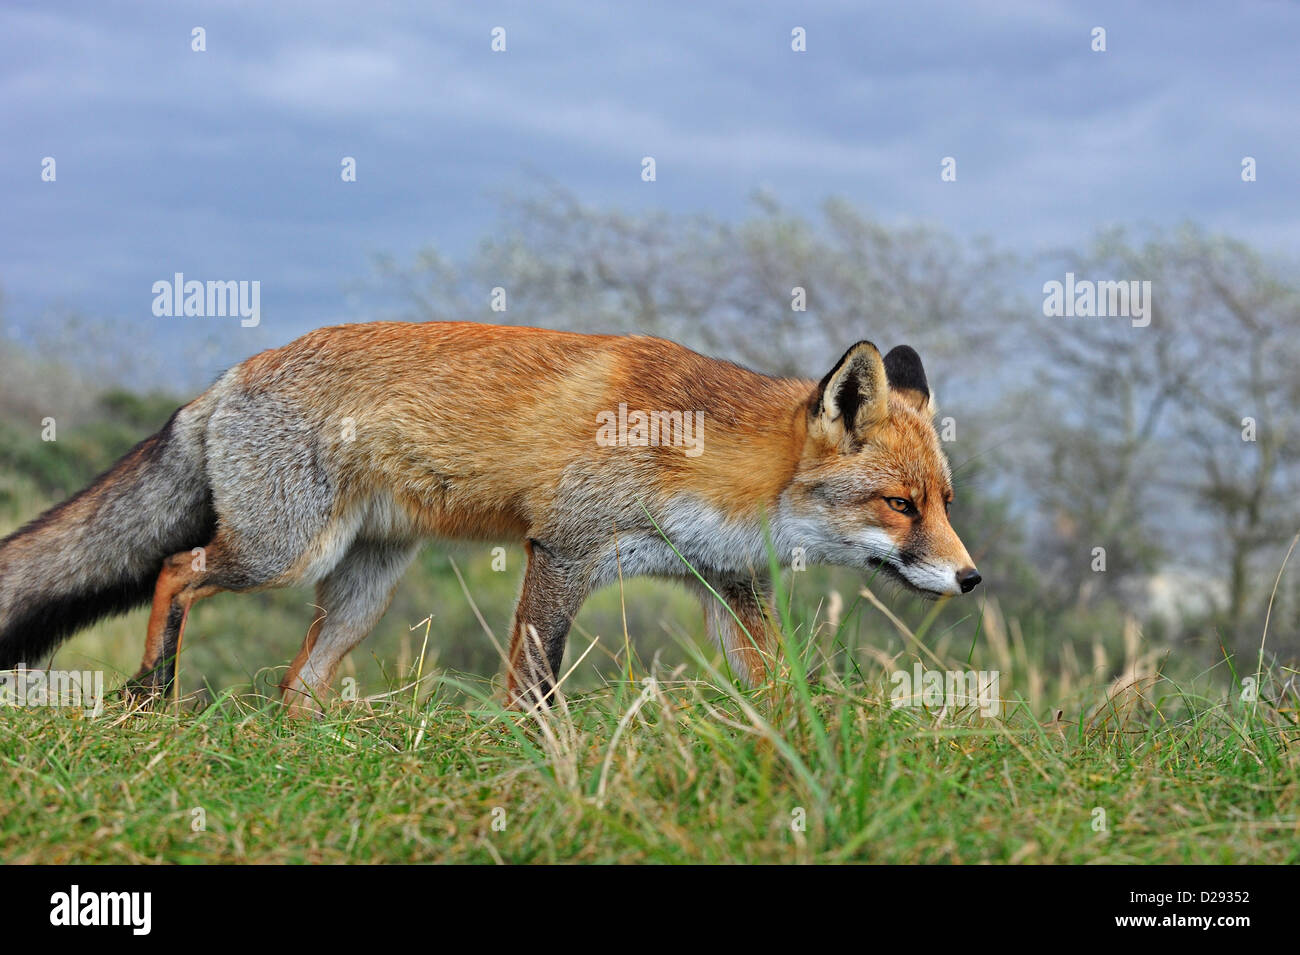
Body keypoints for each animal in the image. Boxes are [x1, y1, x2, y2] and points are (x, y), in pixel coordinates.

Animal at [0, 321, 979, 714]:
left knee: (296, 684)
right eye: (899, 504)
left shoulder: (723, 580)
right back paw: (151, 690)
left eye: (944, 503)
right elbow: (534, 684)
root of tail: (227, 375)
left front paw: (803, 743)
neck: (700, 455)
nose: (971, 576)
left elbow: (775, 685)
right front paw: (537, 756)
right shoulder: (565, 547)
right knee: (177, 571)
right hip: (280, 552)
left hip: (362, 588)